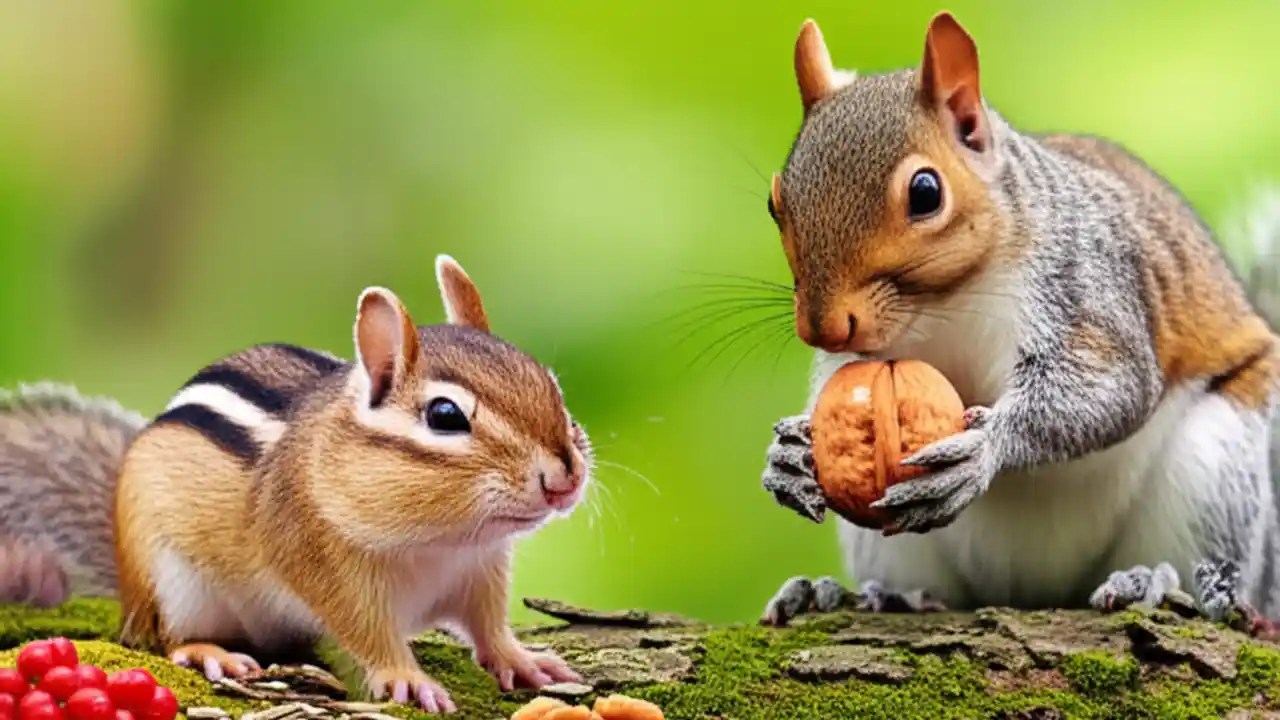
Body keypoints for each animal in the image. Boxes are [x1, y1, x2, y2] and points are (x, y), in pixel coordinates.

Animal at [0, 255, 589, 713]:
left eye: (549, 383)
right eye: (445, 415)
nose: (565, 477)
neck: (443, 540)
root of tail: (128, 596)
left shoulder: (480, 569)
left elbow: (489, 625)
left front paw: (521, 660)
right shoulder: (323, 562)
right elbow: (368, 632)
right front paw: (407, 677)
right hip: (172, 584)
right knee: (169, 639)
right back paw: (209, 652)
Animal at [759, 12, 1280, 631]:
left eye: (926, 192)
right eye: (775, 202)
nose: (823, 329)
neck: (941, 301)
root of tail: (1035, 590)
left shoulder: (1084, 286)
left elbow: (1112, 387)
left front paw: (985, 447)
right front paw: (788, 456)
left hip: (1213, 473)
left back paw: (1152, 583)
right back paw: (866, 595)